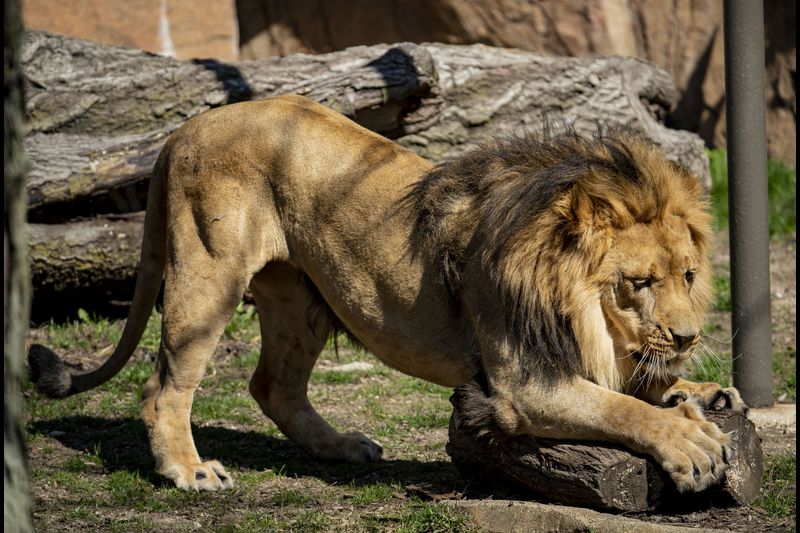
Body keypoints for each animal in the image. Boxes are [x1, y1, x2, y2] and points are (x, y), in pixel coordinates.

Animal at [29, 94, 746, 493]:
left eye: (688, 274)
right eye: (638, 283)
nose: (689, 336)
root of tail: (184, 128)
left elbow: (640, 388)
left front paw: (702, 392)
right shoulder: (522, 385)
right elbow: (619, 409)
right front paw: (690, 441)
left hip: (302, 297)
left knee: (273, 385)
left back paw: (343, 447)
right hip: (208, 276)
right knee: (165, 387)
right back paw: (188, 470)